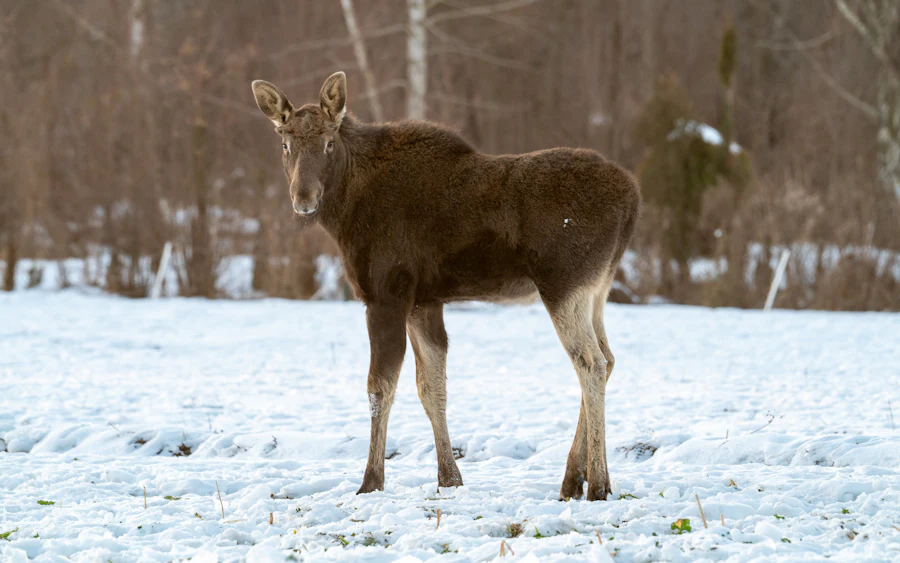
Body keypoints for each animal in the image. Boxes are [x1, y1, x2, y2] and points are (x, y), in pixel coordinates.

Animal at [251, 72, 640, 501]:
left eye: (329, 142)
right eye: (285, 143)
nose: (303, 199)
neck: (346, 215)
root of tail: (634, 199)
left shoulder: (385, 294)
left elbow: (379, 387)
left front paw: (370, 481)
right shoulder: (424, 301)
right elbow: (431, 387)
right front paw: (449, 477)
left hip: (563, 283)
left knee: (590, 363)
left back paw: (598, 483)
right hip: (596, 289)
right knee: (609, 358)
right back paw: (574, 477)